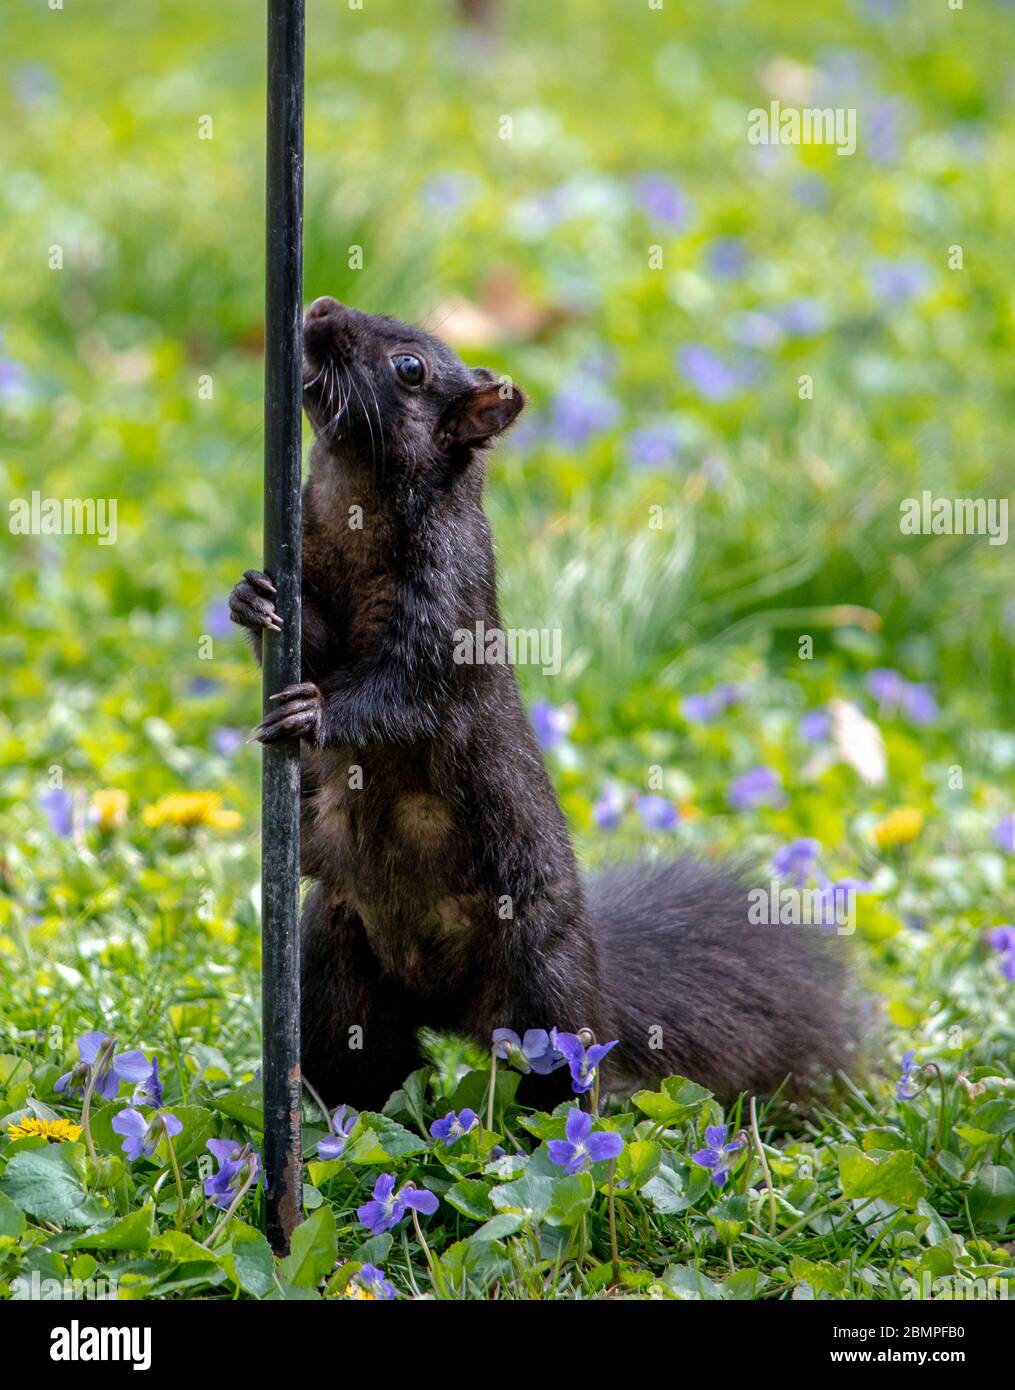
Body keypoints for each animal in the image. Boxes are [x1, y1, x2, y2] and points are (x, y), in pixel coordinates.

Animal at [230, 296, 857, 1111]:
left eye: (410, 368)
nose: (322, 307)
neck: (350, 500)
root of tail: (445, 1006)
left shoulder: (448, 605)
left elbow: (403, 693)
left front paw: (316, 715)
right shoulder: (315, 579)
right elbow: (307, 640)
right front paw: (249, 600)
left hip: (541, 986)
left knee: (558, 1080)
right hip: (337, 967)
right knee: (362, 1069)